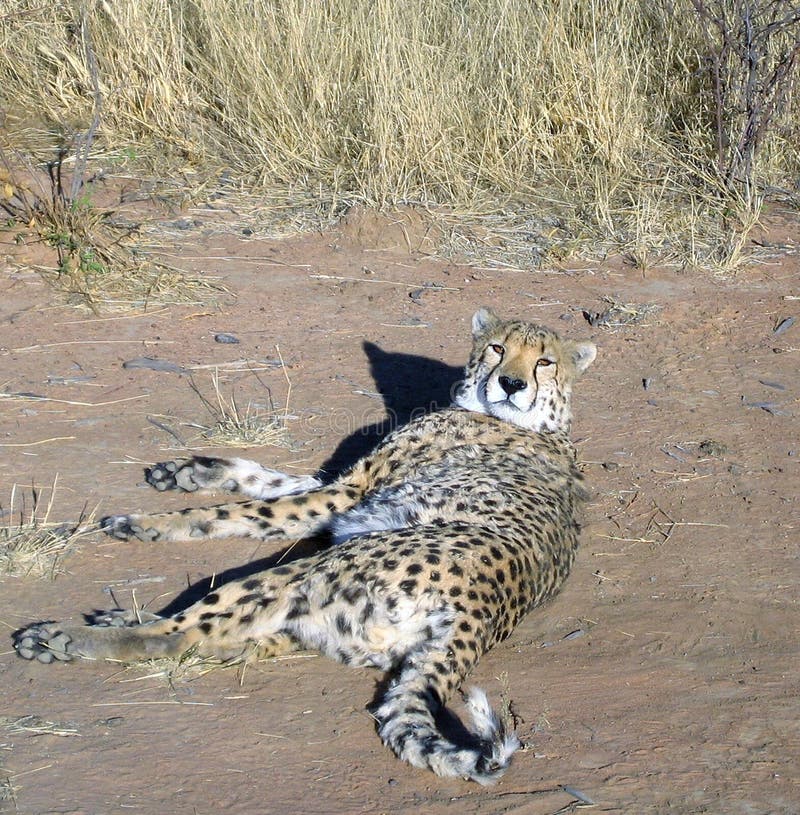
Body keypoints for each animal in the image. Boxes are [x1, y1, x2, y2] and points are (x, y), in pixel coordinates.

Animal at [14, 307, 596, 785]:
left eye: (544, 362)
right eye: (497, 348)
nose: (512, 383)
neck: (524, 421)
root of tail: (486, 613)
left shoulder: (346, 494)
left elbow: (237, 513)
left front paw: (144, 521)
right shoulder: (335, 488)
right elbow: (256, 478)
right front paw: (186, 474)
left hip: (310, 572)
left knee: (178, 638)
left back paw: (65, 638)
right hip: (326, 626)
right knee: (216, 640)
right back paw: (116, 619)